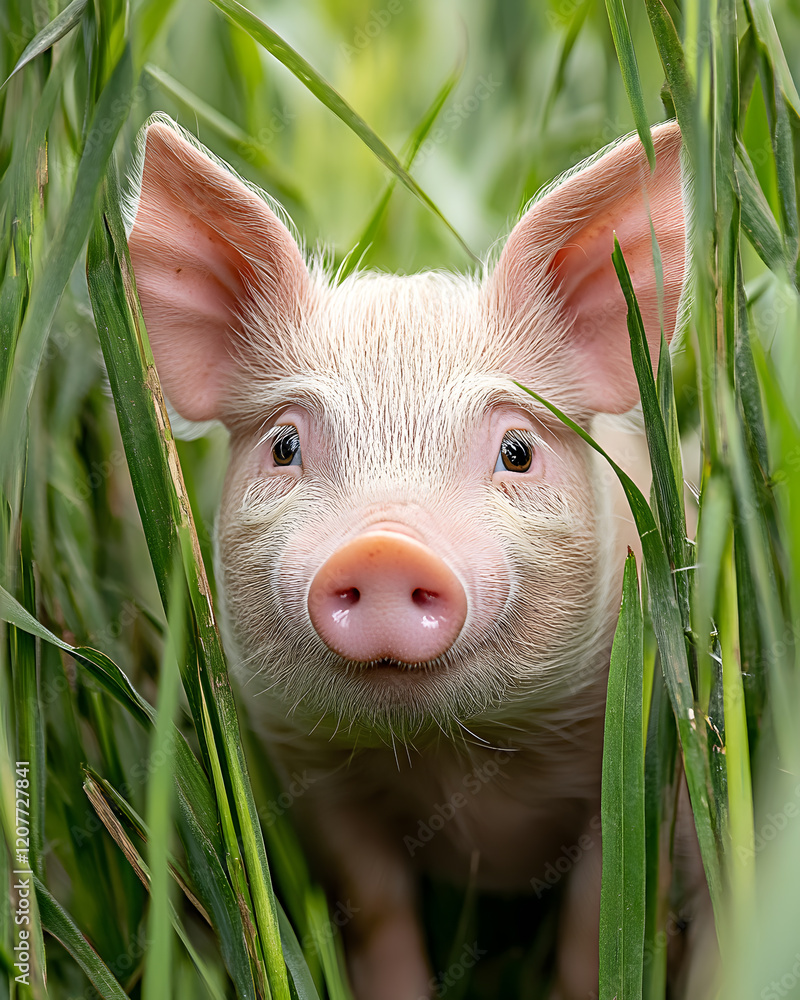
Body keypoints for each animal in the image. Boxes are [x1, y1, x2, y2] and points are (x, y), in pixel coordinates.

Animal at [126, 114, 693, 999]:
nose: (385, 546)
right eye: (285, 445)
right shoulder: (309, 766)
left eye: (518, 451)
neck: (451, 752)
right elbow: (376, 904)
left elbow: (602, 917)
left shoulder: (642, 749)